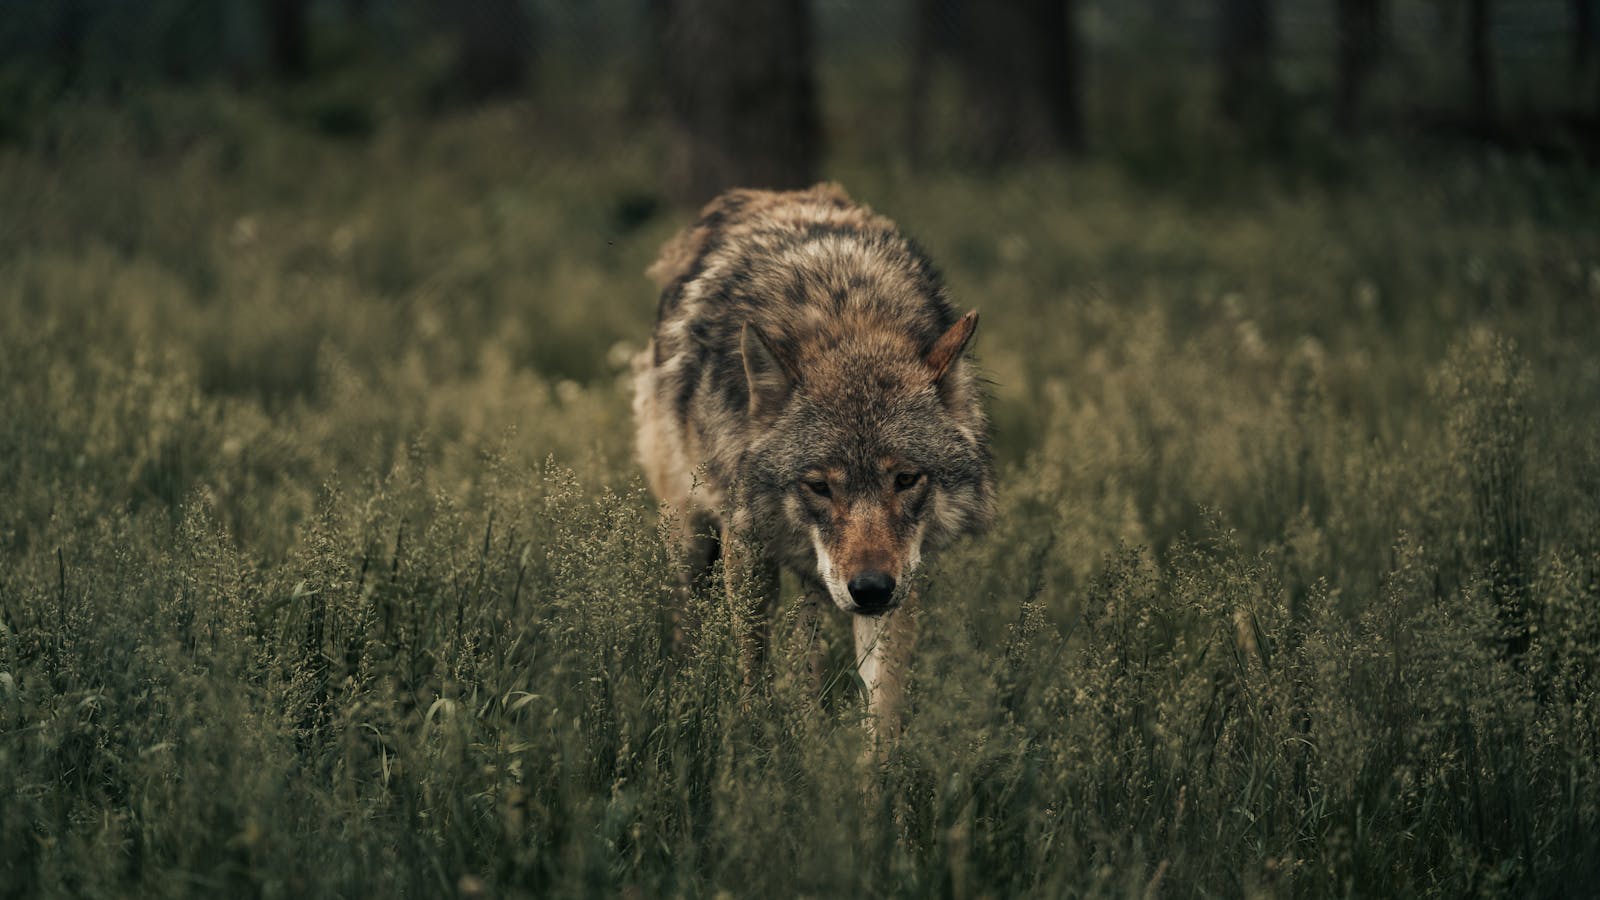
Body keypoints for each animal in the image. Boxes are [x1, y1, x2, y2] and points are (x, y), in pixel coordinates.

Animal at [632, 183, 994, 740]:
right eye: (819, 486)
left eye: (905, 479)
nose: (869, 590)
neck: (848, 316)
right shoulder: (748, 541)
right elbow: (753, 663)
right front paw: (754, 745)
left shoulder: (902, 574)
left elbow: (884, 702)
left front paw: (873, 766)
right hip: (690, 535)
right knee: (688, 619)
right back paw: (685, 693)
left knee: (809, 654)